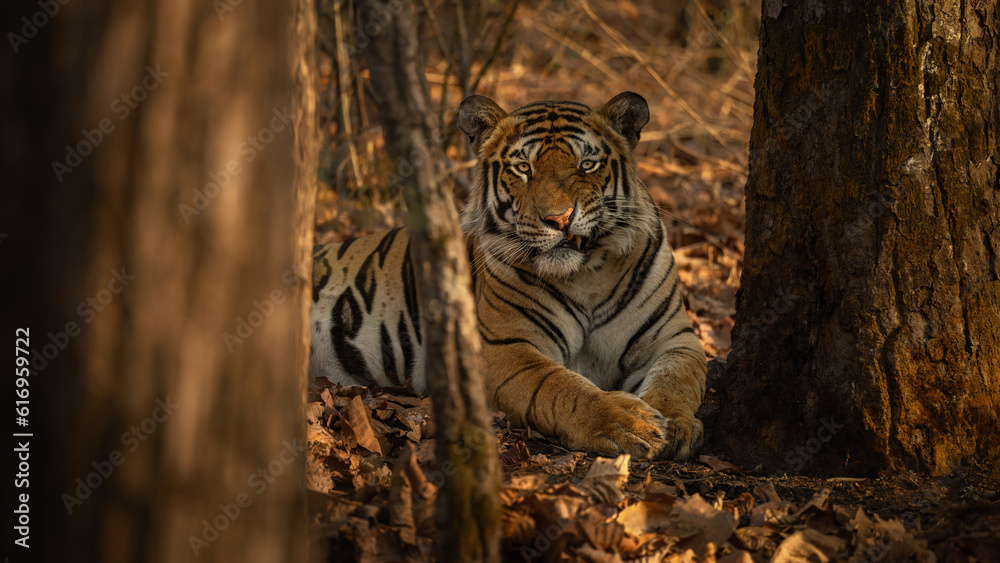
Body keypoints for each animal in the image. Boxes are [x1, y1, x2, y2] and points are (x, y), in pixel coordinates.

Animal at [310, 92, 707, 460]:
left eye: (587, 164)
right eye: (522, 168)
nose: (559, 218)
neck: (587, 275)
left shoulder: (675, 338)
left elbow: (676, 379)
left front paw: (677, 424)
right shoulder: (503, 348)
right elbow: (562, 388)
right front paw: (630, 421)